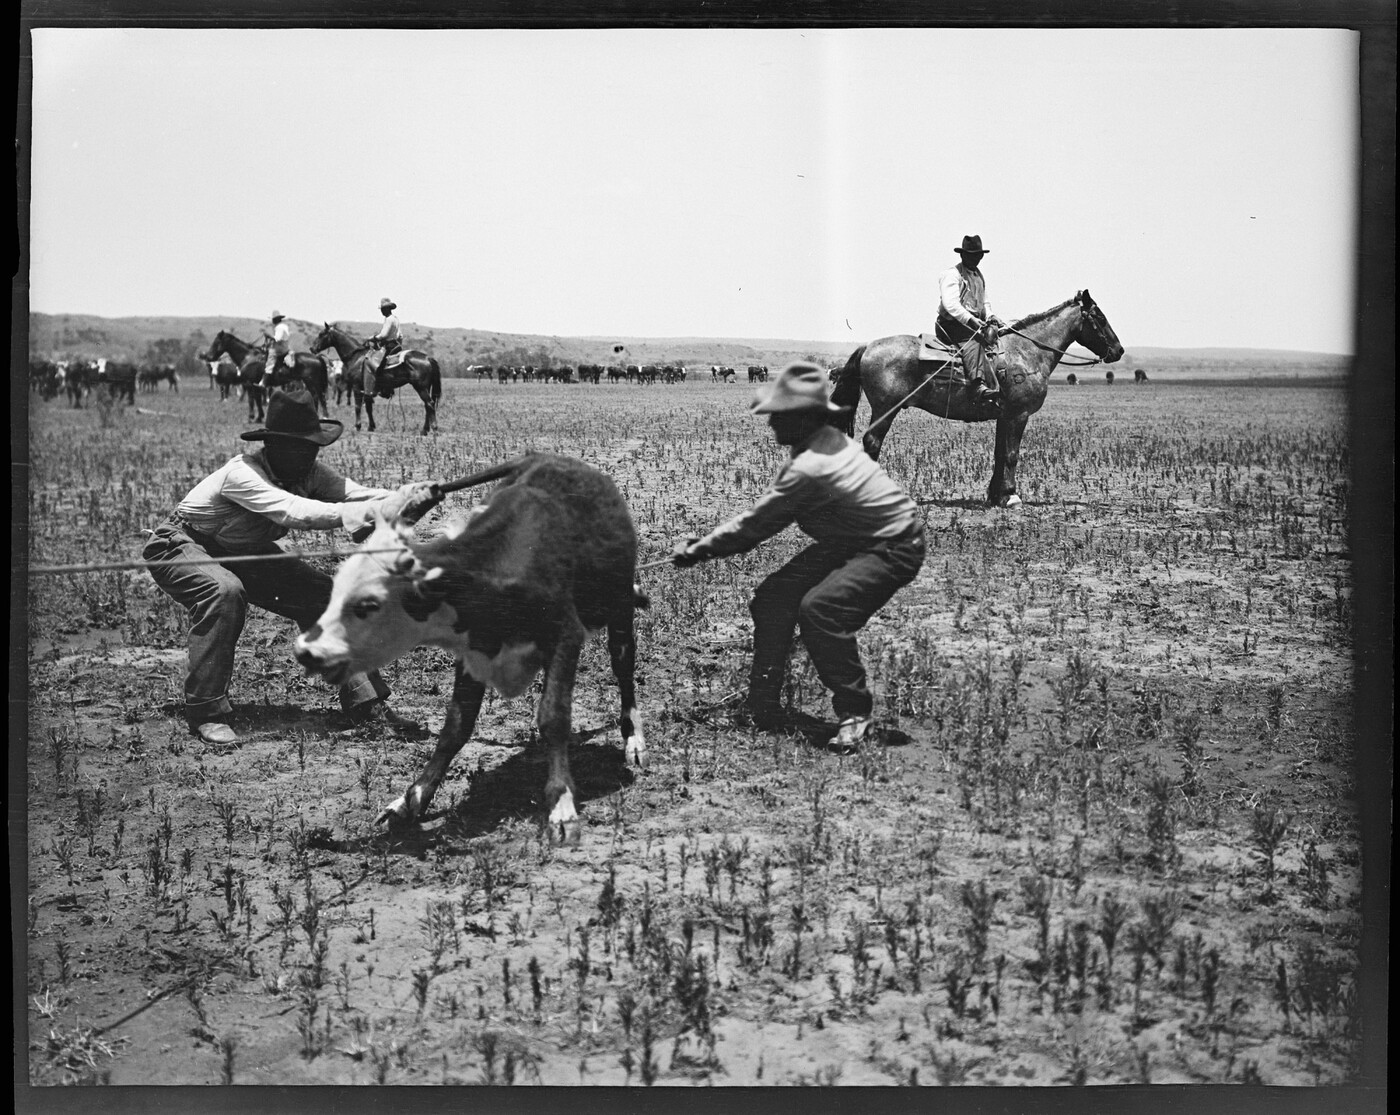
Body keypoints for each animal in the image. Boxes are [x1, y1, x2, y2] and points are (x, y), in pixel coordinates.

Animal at [293, 453, 648, 841]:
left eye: (367, 605)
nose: (305, 650)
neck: (495, 569)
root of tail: (546, 456)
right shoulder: (473, 652)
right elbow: (455, 727)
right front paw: (412, 799)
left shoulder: (565, 636)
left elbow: (554, 717)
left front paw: (562, 805)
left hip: (619, 608)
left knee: (623, 665)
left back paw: (634, 740)